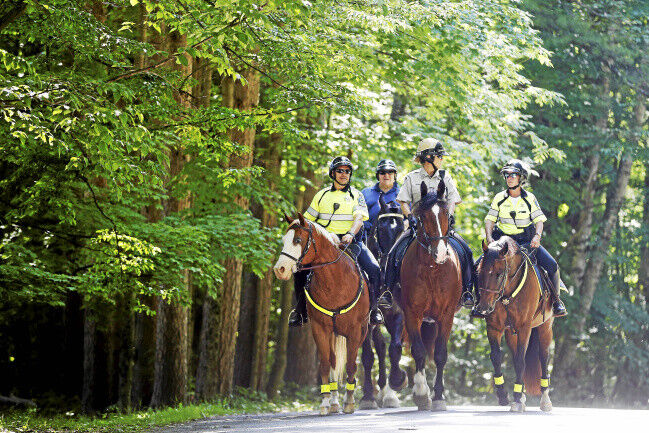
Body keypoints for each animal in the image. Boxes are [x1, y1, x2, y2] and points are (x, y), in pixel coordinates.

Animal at [273, 213, 370, 415]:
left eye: (298, 240)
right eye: (284, 240)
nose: (280, 270)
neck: (335, 282)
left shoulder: (356, 331)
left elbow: (351, 364)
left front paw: (349, 402)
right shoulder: (320, 328)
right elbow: (325, 364)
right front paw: (325, 402)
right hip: (332, 332)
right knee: (333, 361)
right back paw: (333, 402)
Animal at [399, 180, 463, 411]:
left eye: (446, 214)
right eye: (423, 216)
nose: (441, 253)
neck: (432, 268)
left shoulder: (446, 315)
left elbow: (440, 354)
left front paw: (438, 397)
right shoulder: (412, 313)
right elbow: (418, 351)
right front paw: (421, 393)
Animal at [474, 236, 555, 412]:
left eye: (498, 275)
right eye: (478, 272)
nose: (483, 307)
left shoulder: (524, 328)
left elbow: (520, 360)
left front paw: (517, 397)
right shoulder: (494, 327)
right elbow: (496, 356)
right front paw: (503, 395)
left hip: (545, 327)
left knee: (543, 357)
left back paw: (545, 399)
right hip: (511, 332)